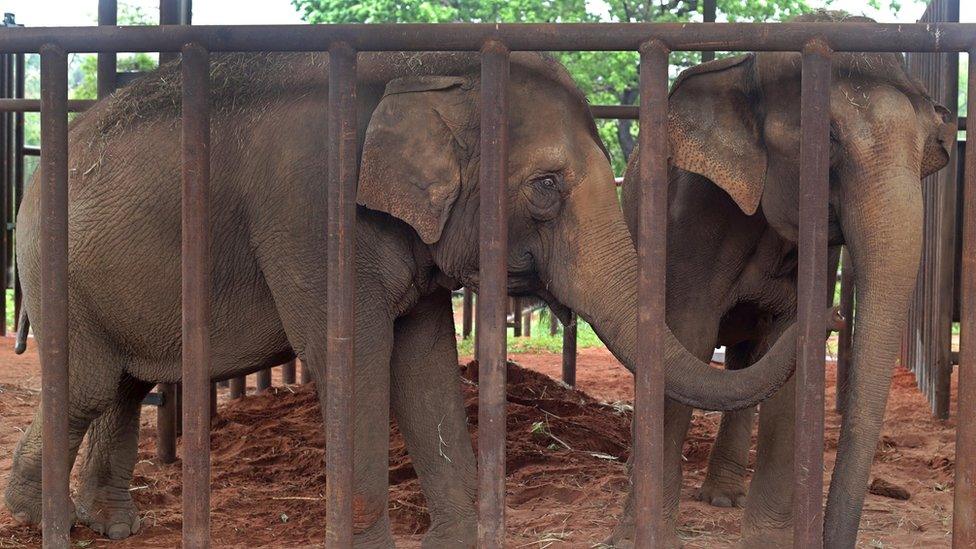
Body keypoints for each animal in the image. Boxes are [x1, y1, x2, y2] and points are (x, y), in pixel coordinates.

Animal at [4, 50, 803, 546]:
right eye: (546, 187)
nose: (800, 297)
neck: (425, 71)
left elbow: (424, 365)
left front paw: (456, 539)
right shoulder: (313, 215)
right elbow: (355, 359)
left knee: (120, 386)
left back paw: (108, 524)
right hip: (54, 266)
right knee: (86, 385)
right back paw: (36, 519)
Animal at [608, 13, 955, 549]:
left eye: (927, 148)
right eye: (828, 137)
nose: (837, 315)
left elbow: (787, 351)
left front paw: (767, 537)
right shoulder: (695, 209)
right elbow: (688, 334)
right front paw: (640, 534)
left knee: (746, 362)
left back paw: (722, 498)